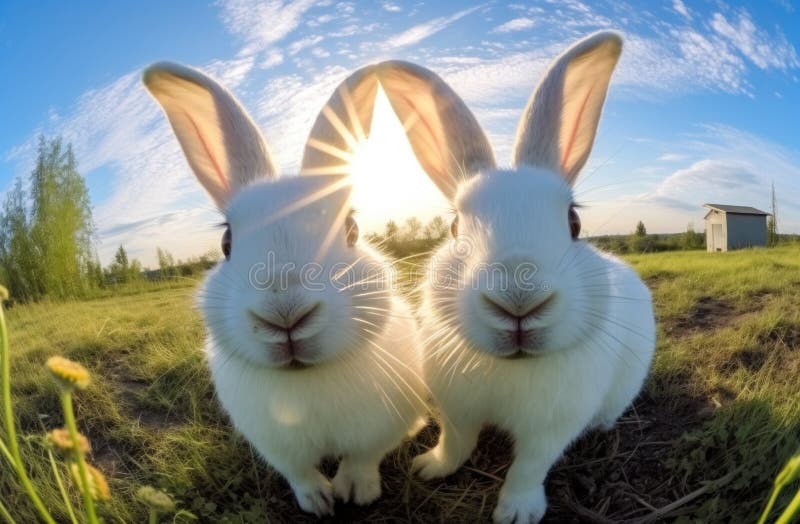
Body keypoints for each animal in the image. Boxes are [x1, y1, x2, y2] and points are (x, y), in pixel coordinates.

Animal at [143, 62, 428, 517]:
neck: (305, 379)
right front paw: (318, 502)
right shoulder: (276, 446)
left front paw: (356, 491)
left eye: (352, 229)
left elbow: (363, 459)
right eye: (226, 242)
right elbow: (300, 473)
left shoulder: (376, 429)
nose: (285, 315)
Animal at [375, 31, 656, 523]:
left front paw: (517, 512)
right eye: (454, 227)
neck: (511, 367)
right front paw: (428, 468)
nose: (518, 300)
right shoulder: (457, 410)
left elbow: (529, 468)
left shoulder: (551, 428)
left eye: (574, 222)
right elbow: (455, 443)